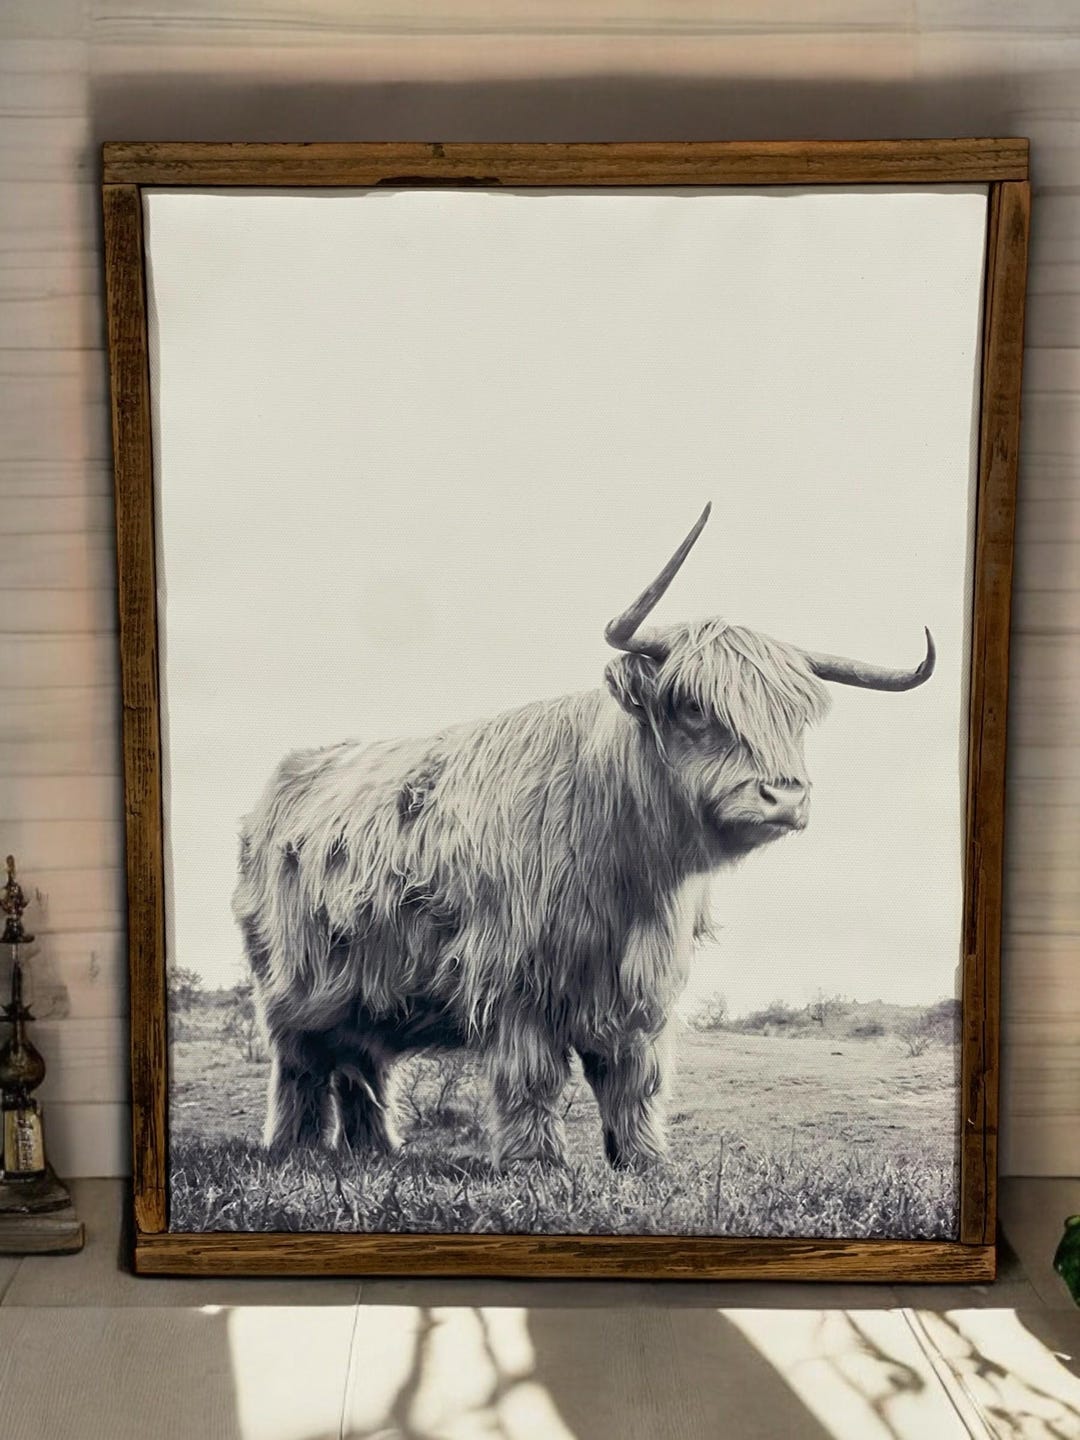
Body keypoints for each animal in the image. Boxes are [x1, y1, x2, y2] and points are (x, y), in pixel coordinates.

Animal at [233, 504, 935, 1171]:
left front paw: (645, 1161)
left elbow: (634, 1079)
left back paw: (375, 1150)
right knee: (301, 1064)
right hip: (289, 984)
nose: (784, 795)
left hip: (362, 987)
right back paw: (296, 1149)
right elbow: (534, 1076)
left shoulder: (641, 986)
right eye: (693, 706)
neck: (628, 873)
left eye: (794, 717)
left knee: (363, 1063)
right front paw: (535, 1162)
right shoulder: (515, 976)